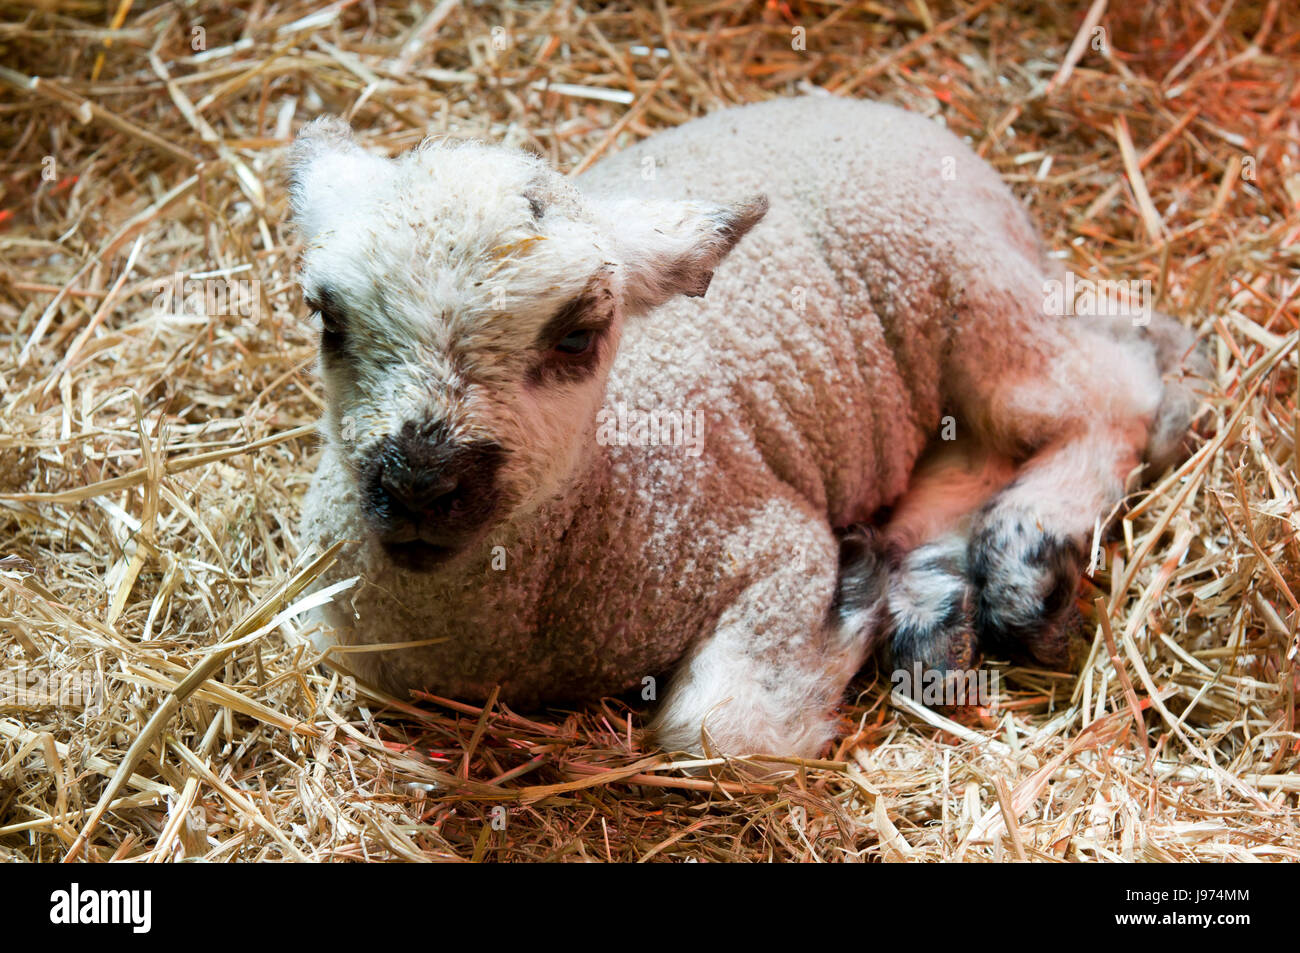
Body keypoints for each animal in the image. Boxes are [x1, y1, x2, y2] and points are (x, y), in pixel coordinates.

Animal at [289, 96, 1204, 760]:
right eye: (328, 316)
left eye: (579, 335)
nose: (419, 484)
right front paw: (883, 586)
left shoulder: (772, 546)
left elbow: (718, 731)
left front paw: (854, 595)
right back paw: (930, 604)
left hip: (976, 296)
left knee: (1110, 387)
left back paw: (1025, 558)